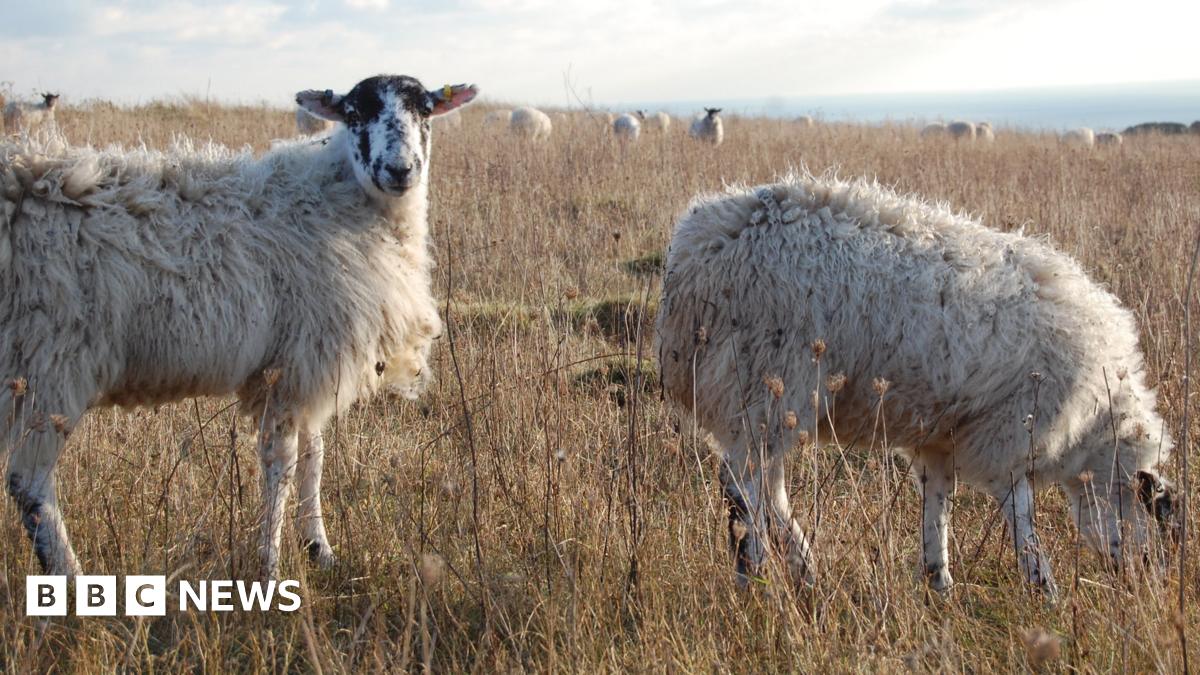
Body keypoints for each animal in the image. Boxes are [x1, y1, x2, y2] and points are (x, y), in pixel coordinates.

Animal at [0, 74, 478, 579]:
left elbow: (314, 457)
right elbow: (281, 465)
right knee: (29, 483)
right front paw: (270, 565)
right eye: (353, 113)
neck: (336, 200)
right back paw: (70, 577)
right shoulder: (292, 367)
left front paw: (320, 549)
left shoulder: (307, 364)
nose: (399, 169)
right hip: (47, 362)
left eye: (425, 110)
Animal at [655, 172, 1177, 598]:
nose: (1144, 580)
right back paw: (757, 577)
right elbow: (1021, 517)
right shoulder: (1010, 433)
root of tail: (693, 253)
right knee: (743, 488)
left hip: (762, 400)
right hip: (767, 382)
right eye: (1151, 517)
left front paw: (939, 582)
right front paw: (1044, 588)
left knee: (767, 485)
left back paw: (803, 569)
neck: (1095, 420)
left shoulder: (940, 439)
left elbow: (937, 505)